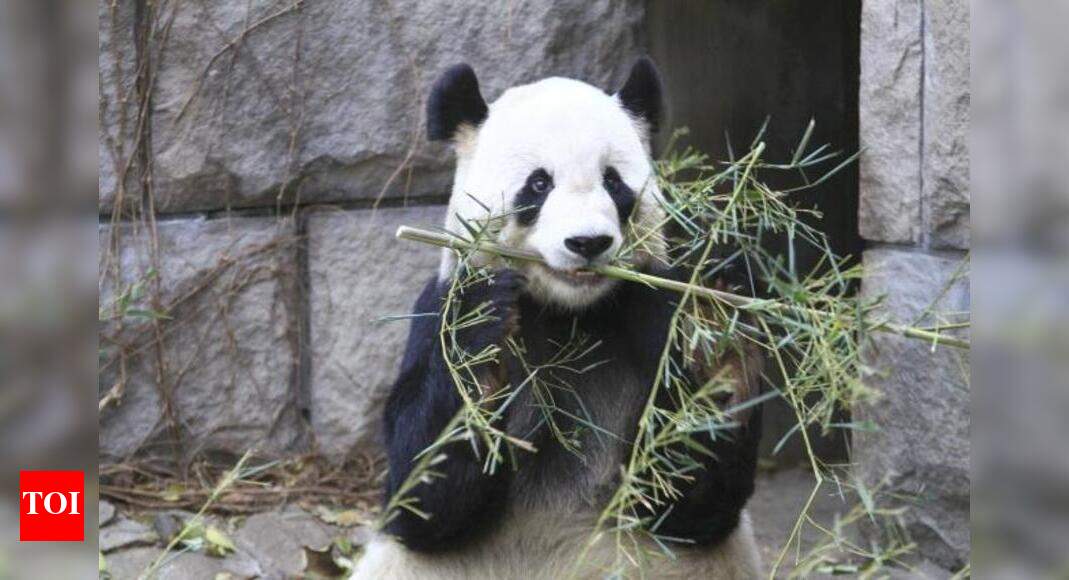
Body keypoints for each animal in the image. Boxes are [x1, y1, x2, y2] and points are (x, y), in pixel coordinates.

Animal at [354, 58, 764, 579]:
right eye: (538, 184)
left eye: (614, 182)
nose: (588, 243)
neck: (567, 311)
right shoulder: (436, 312)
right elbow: (419, 494)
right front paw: (483, 333)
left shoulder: (653, 310)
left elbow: (687, 506)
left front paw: (716, 343)